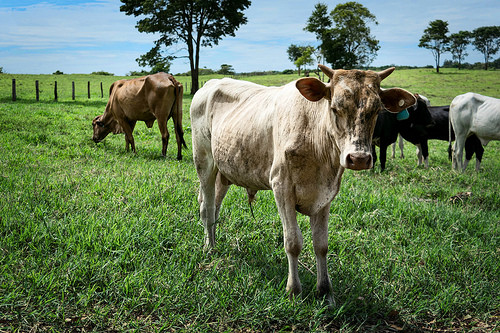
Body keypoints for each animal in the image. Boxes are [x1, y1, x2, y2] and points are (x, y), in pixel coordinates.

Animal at [189, 63, 416, 302]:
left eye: (376, 111)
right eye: (335, 108)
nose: (359, 158)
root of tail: (210, 84)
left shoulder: (326, 194)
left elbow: (321, 244)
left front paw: (325, 291)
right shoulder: (281, 187)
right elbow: (293, 242)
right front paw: (293, 290)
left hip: (224, 170)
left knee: (215, 207)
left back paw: (213, 242)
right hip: (204, 161)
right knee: (207, 208)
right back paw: (209, 248)